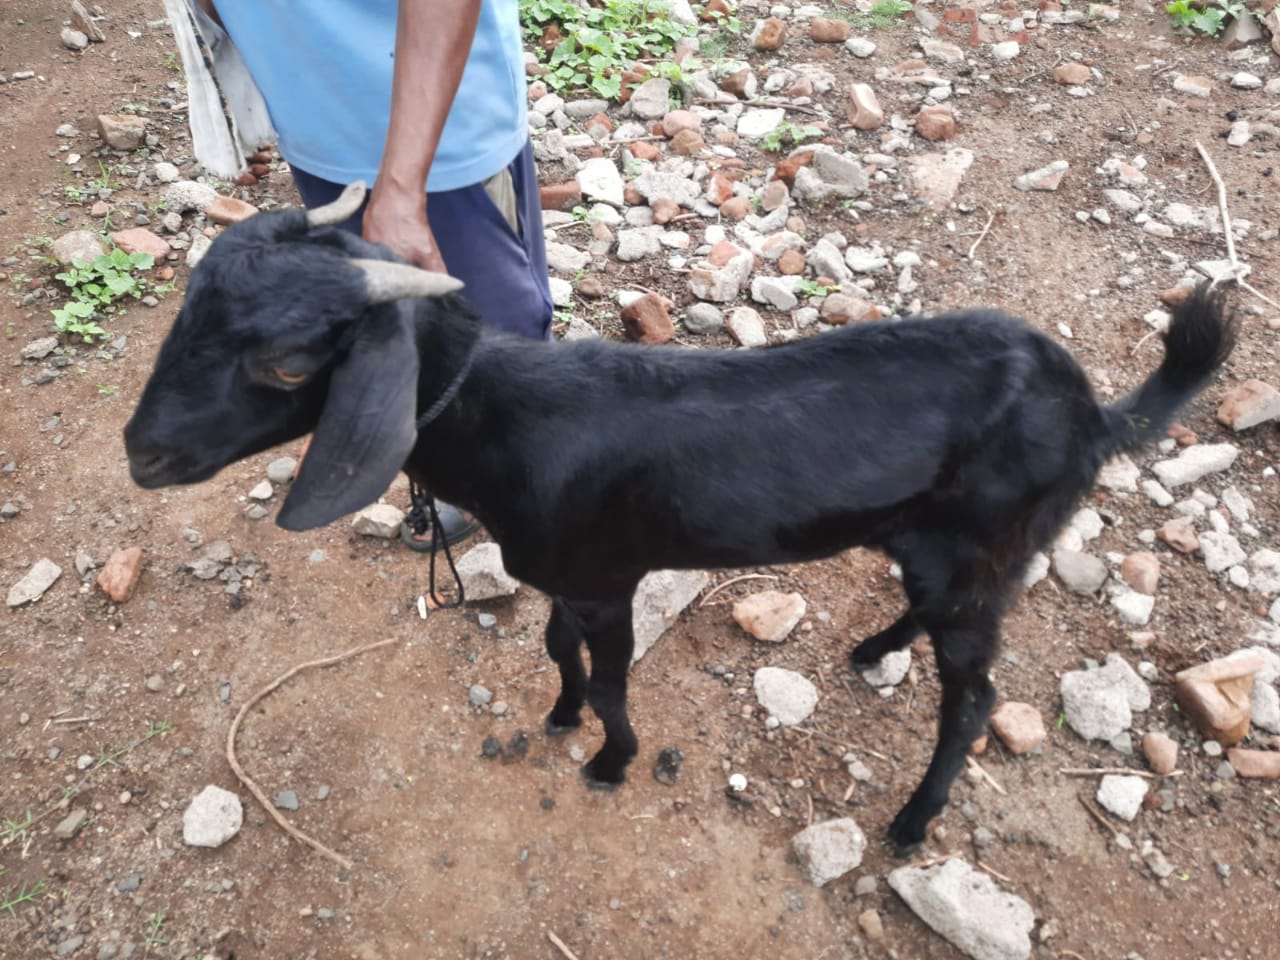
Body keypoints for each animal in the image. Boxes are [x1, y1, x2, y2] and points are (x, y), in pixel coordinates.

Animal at [124, 182, 1235, 855]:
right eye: (186, 314)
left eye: (287, 364)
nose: (142, 452)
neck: (499, 419)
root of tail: (1092, 412)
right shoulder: (568, 574)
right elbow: (555, 649)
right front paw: (558, 714)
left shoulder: (609, 581)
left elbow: (615, 680)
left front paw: (608, 759)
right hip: (942, 551)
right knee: (926, 618)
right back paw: (872, 650)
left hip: (987, 548)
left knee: (971, 700)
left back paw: (913, 821)